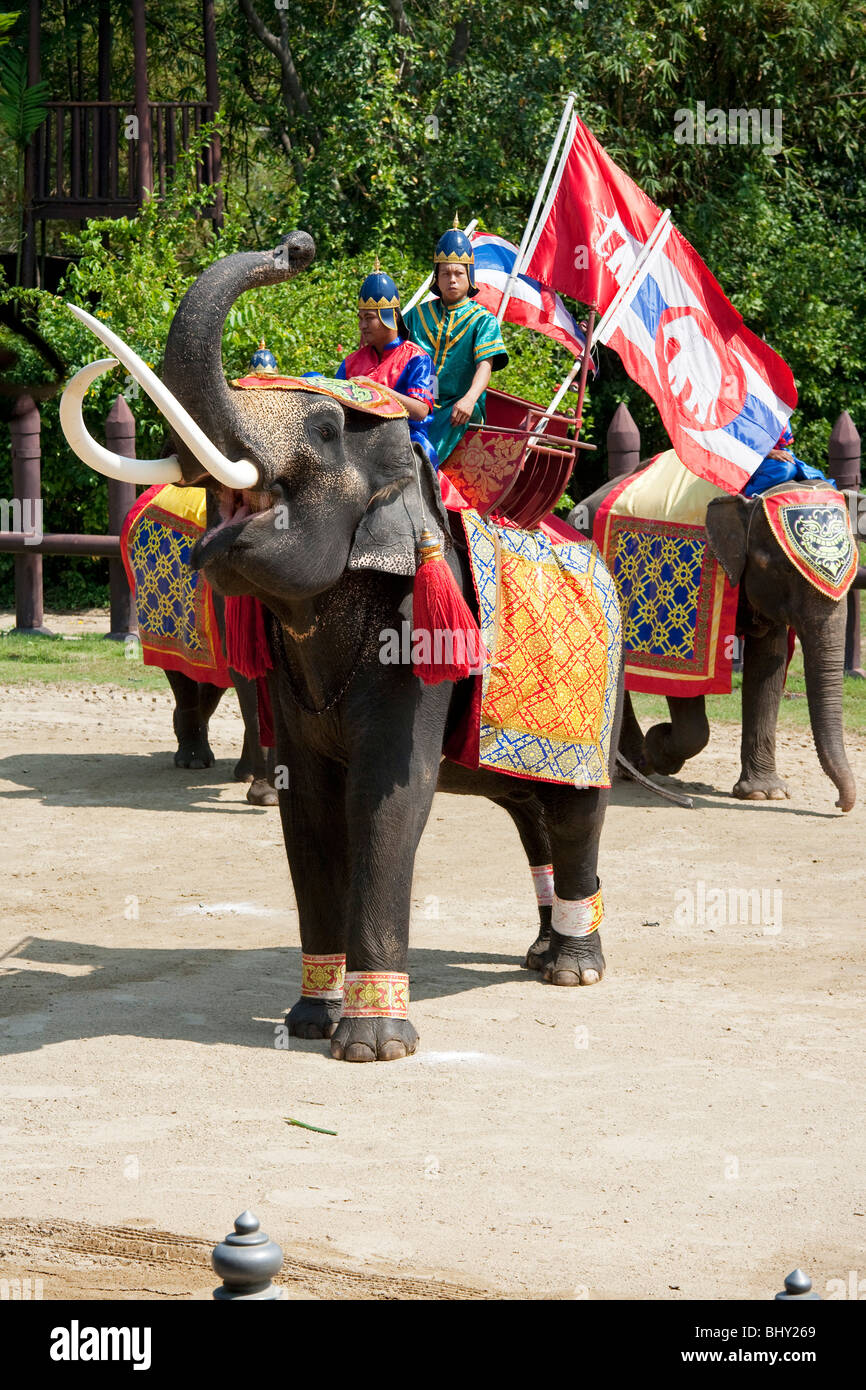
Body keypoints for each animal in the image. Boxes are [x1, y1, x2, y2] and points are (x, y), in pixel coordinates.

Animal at [61, 231, 624, 1063]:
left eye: (326, 433)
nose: (294, 246)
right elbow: (311, 808)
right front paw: (307, 1021)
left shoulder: (418, 641)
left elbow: (387, 800)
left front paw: (371, 1046)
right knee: (529, 808)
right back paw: (538, 952)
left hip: (599, 695)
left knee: (578, 809)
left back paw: (573, 971)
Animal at [572, 472, 856, 812]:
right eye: (783, 568)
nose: (840, 804)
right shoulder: (684, 587)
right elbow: (684, 684)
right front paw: (658, 747)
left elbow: (767, 668)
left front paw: (764, 793)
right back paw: (633, 764)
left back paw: (633, 766)